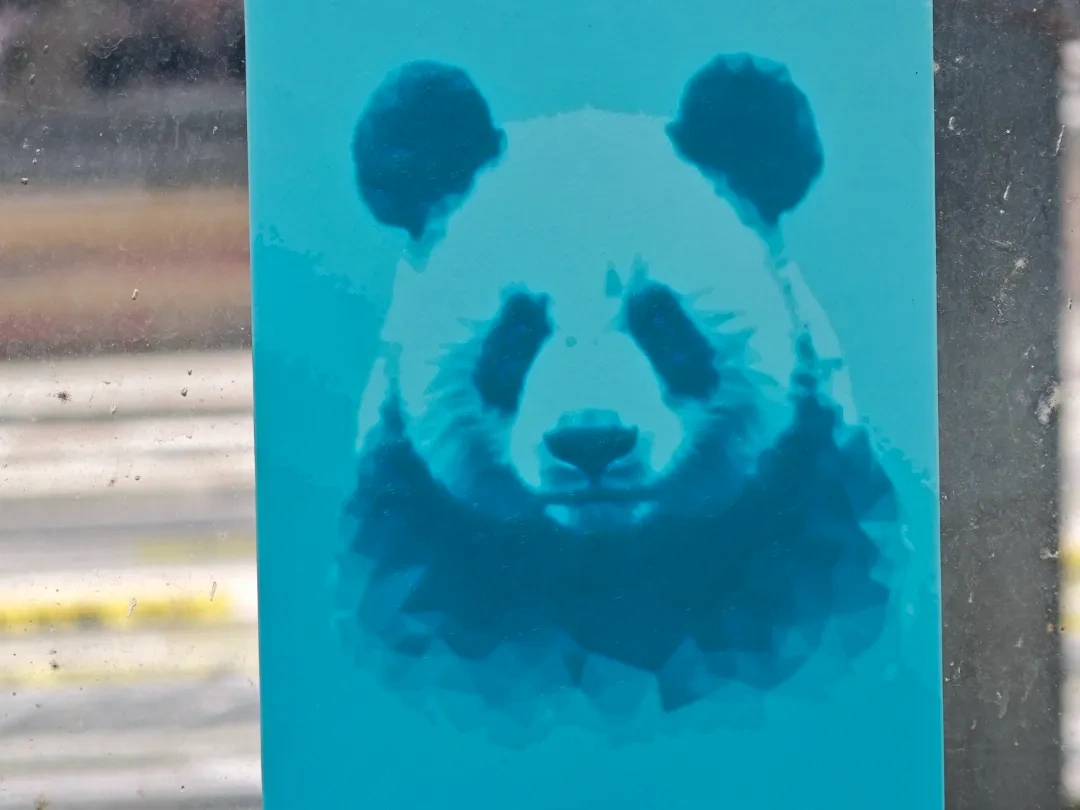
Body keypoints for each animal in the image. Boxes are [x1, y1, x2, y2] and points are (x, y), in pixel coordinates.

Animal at [333, 53, 904, 738]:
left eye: (660, 320)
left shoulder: (811, 523)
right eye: (517, 332)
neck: (608, 560)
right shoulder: (413, 548)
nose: (592, 442)